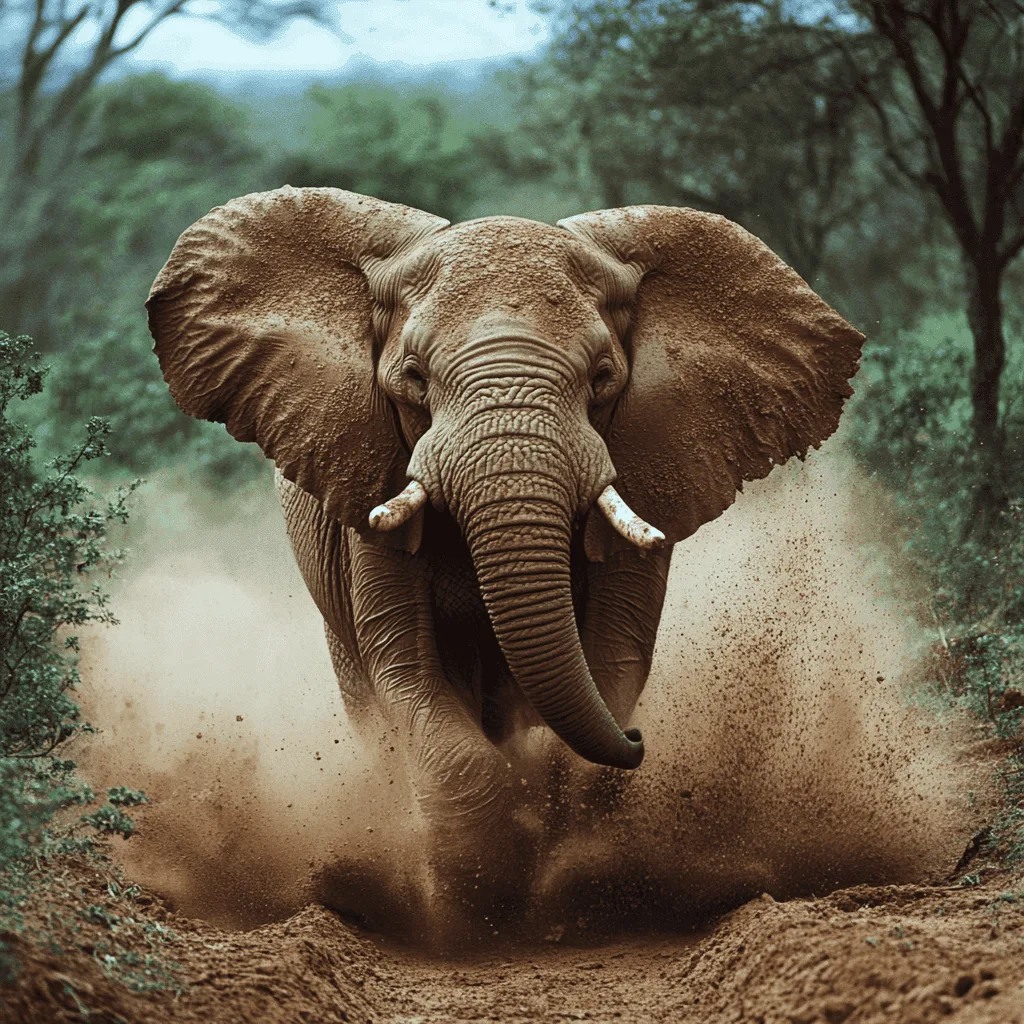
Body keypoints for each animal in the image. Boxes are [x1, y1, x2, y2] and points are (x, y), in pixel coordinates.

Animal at [148, 187, 863, 933]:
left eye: (603, 378)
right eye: (413, 379)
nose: (639, 739)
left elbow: (615, 654)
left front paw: (567, 859)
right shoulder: (369, 481)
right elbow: (408, 674)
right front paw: (475, 901)